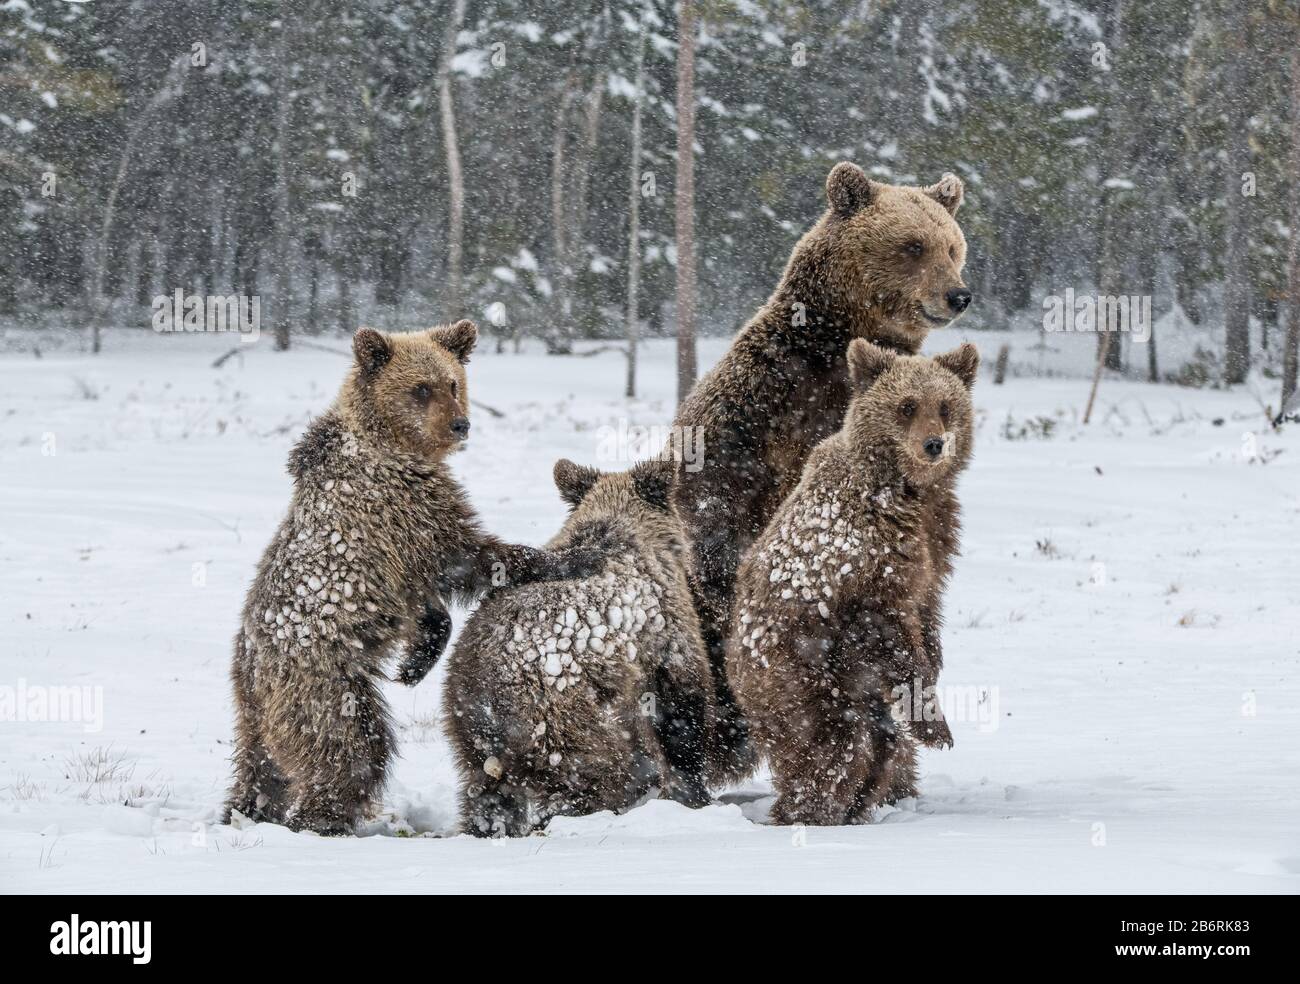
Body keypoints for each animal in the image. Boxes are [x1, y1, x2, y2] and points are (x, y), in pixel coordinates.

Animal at [224, 321, 596, 835]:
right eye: (421, 389)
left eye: (454, 383)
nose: (461, 425)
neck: (394, 445)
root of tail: (252, 669)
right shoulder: (402, 510)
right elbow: (469, 555)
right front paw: (573, 555)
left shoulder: (402, 551)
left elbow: (429, 601)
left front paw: (417, 659)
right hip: (324, 682)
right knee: (352, 748)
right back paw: (323, 819)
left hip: (259, 713)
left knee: (262, 770)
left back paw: (247, 810)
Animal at [442, 457, 715, 837]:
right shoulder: (665, 636)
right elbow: (681, 711)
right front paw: (694, 793)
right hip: (561, 709)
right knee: (597, 772)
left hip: (467, 728)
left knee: (487, 796)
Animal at [725, 339, 979, 825]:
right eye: (906, 405)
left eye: (945, 404)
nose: (934, 444)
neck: (907, 491)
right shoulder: (861, 568)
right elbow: (891, 631)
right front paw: (936, 725)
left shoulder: (937, 539)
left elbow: (928, 605)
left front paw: (935, 662)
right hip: (799, 675)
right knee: (834, 746)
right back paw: (807, 810)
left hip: (853, 689)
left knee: (883, 745)